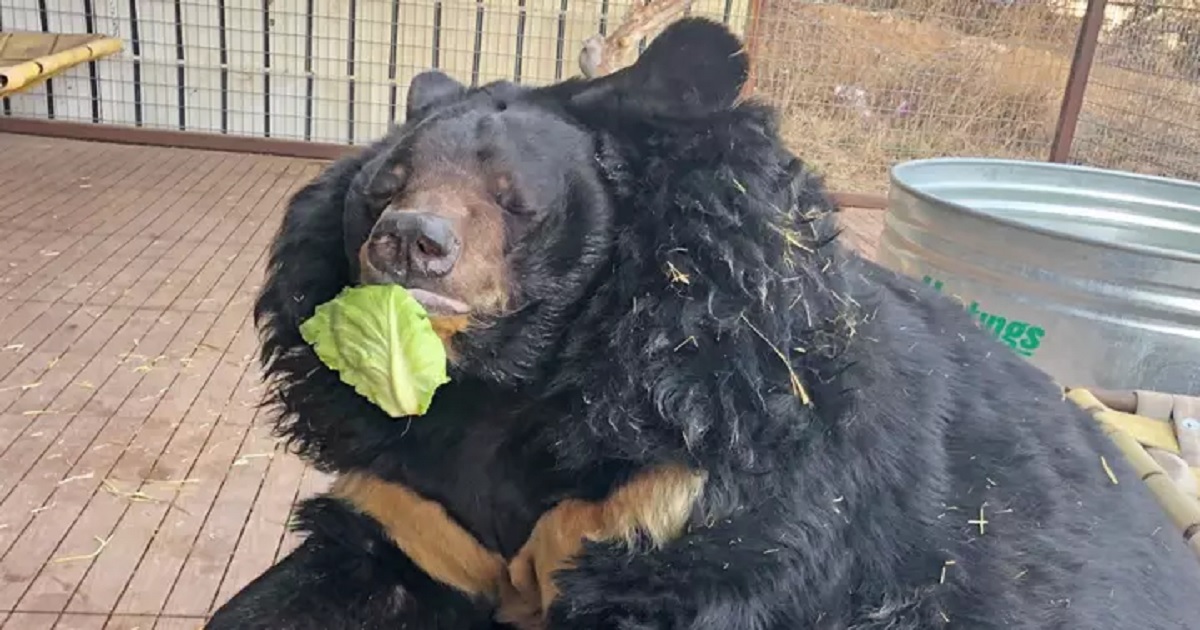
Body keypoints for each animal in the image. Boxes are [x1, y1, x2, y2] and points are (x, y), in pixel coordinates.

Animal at [207, 16, 1200, 630]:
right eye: (385, 186)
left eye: (515, 200)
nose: (411, 243)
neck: (503, 389)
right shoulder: (416, 504)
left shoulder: (691, 490)